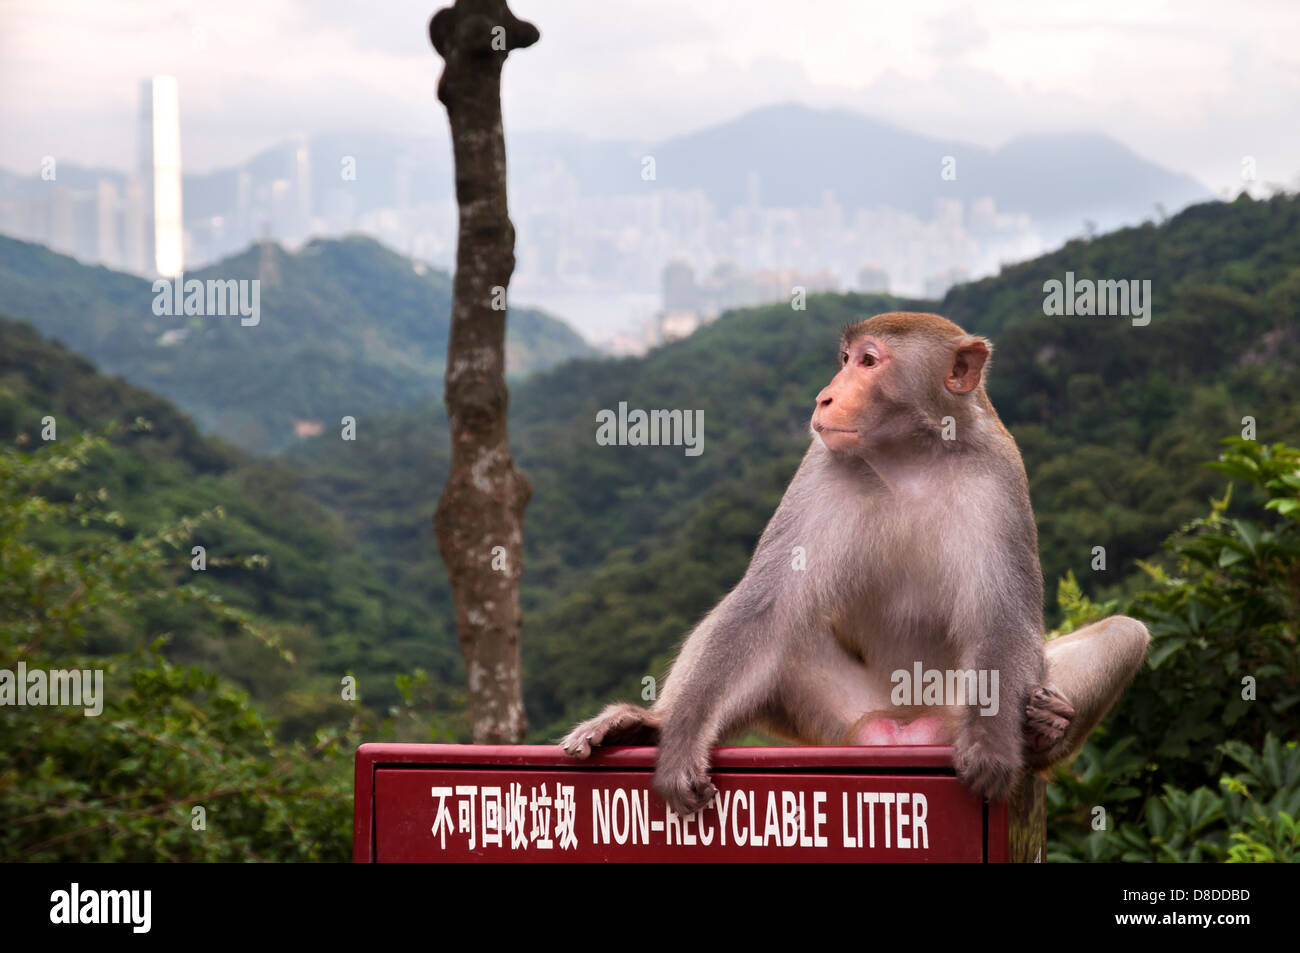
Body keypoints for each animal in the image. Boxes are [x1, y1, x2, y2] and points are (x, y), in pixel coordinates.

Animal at [560, 312, 1150, 816]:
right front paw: (681, 744)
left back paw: (1044, 729)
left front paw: (994, 748)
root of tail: (905, 726)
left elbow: (1004, 619)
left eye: (868, 361)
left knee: (1126, 632)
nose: (825, 396)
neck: (912, 458)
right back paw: (652, 726)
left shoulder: (1001, 475)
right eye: (845, 358)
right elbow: (764, 606)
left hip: (952, 710)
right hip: (836, 718)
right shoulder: (821, 467)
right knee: (775, 629)